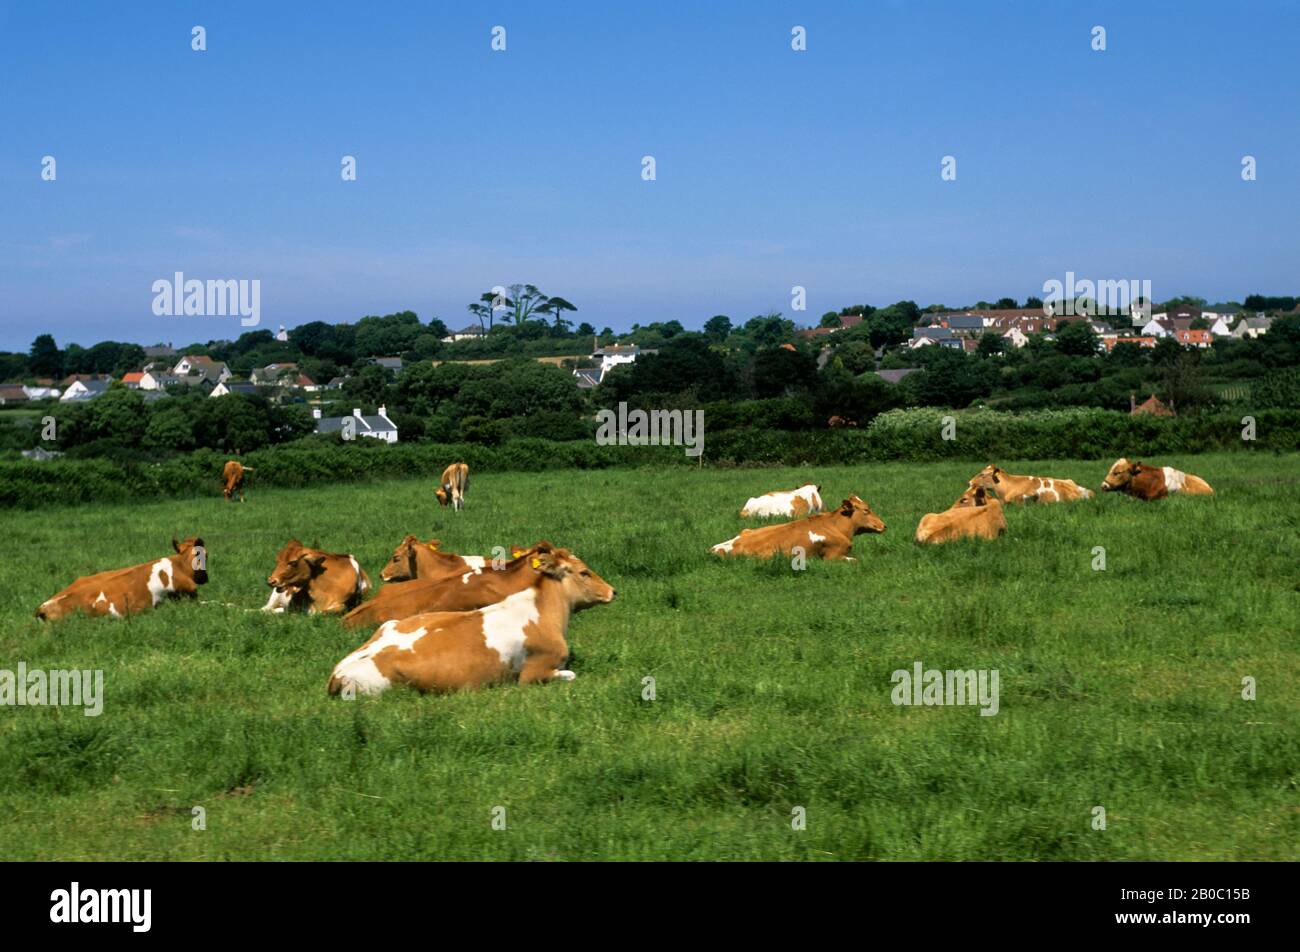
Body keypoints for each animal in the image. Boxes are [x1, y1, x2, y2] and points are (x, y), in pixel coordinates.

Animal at [712, 495, 885, 561]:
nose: (884, 525)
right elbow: (856, 561)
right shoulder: (833, 556)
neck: (835, 526)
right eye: (866, 510)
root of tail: (714, 548)